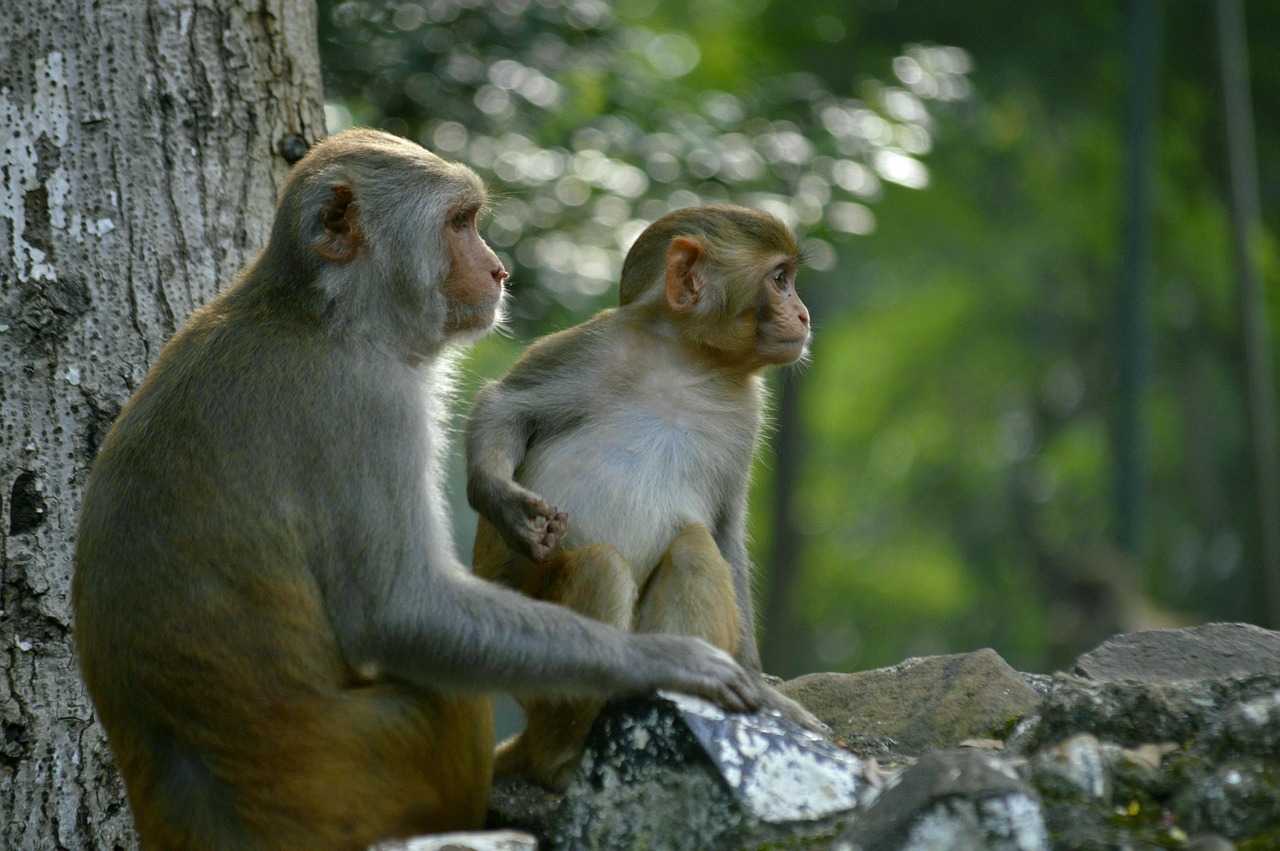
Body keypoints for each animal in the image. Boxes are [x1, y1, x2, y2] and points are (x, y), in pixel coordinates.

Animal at [71, 130, 762, 851]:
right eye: (460, 222)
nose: (498, 271)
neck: (320, 314)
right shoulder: (373, 406)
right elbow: (401, 613)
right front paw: (660, 660)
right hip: (370, 776)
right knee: (450, 683)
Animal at [466, 204, 827, 791]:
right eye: (780, 280)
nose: (803, 314)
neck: (689, 358)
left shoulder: (748, 413)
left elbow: (724, 531)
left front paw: (760, 686)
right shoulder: (596, 344)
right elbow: (505, 406)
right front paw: (505, 504)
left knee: (695, 549)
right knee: (602, 569)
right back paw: (559, 758)